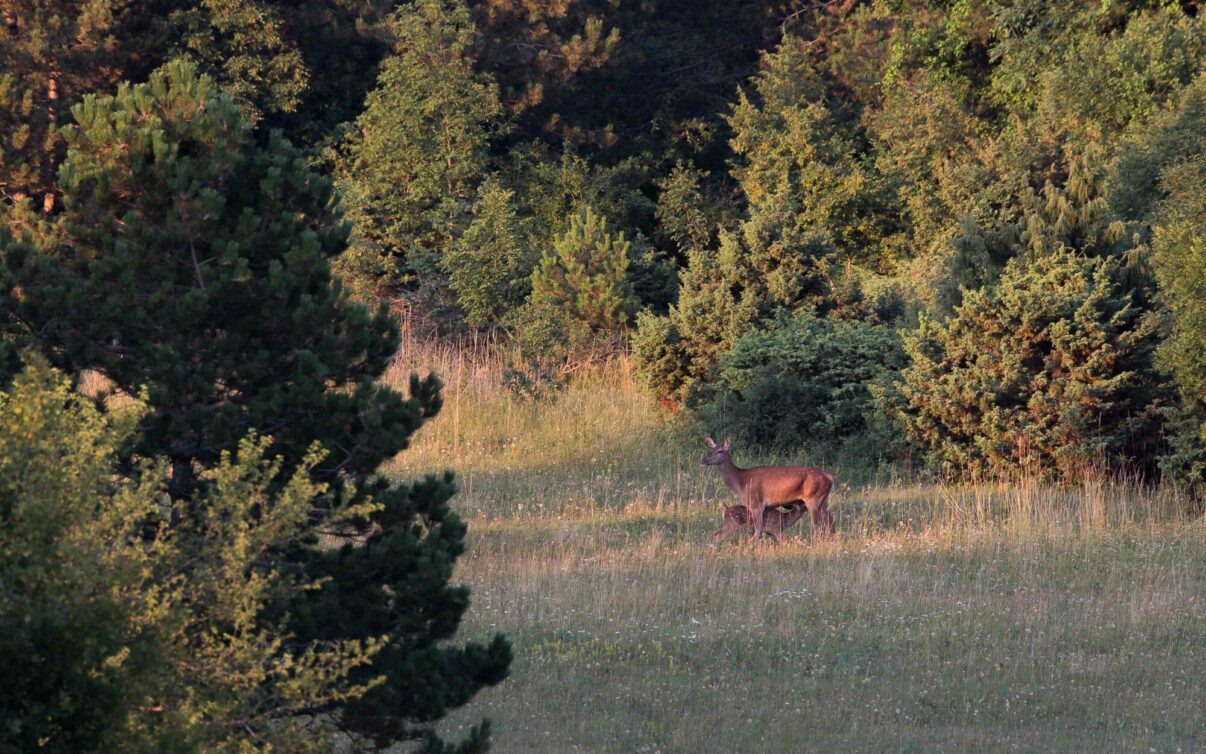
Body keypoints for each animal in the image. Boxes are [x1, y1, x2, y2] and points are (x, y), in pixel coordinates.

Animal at [700, 436, 836, 542]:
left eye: (720, 451)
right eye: (710, 450)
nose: (704, 460)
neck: (740, 482)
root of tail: (829, 477)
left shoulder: (756, 502)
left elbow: (758, 530)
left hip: (814, 499)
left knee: (819, 526)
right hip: (823, 500)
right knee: (830, 521)